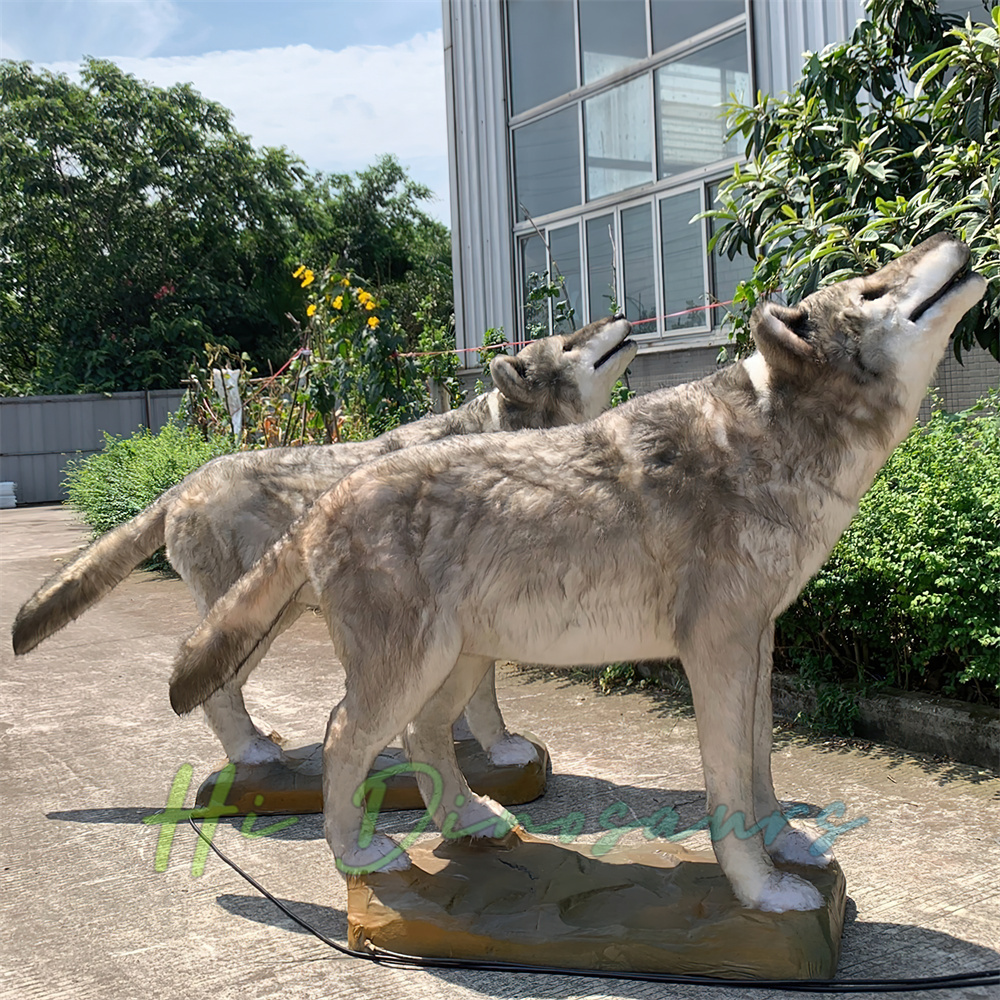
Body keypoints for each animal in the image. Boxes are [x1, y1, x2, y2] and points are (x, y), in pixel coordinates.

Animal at [12, 317, 636, 767]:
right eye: (569, 341)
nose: (619, 316)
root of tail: (183, 484)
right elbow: (485, 701)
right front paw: (502, 749)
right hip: (257, 629)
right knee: (216, 694)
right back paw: (251, 753)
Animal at [169, 234, 984, 912]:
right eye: (874, 289)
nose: (951, 234)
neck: (766, 439)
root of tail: (329, 499)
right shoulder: (716, 650)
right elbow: (729, 790)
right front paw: (763, 893)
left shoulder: (758, 643)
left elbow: (762, 773)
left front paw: (789, 846)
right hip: (407, 668)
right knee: (344, 737)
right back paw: (361, 856)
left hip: (459, 663)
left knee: (424, 738)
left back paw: (474, 823)